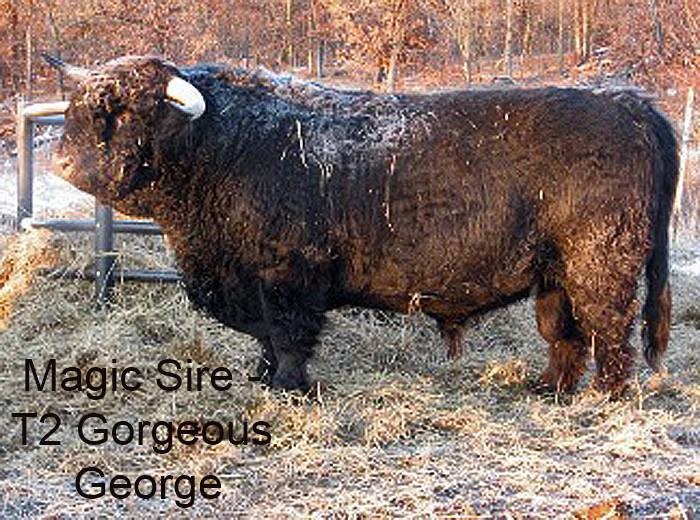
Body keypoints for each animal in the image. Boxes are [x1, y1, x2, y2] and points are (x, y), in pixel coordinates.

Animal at [45, 55, 679, 395]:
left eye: (126, 111)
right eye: (79, 107)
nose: (65, 162)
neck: (224, 145)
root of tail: (627, 103)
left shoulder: (289, 275)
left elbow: (289, 335)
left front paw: (287, 388)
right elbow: (266, 337)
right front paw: (263, 375)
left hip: (602, 263)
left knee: (610, 330)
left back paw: (603, 398)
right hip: (554, 272)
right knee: (563, 334)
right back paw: (549, 389)